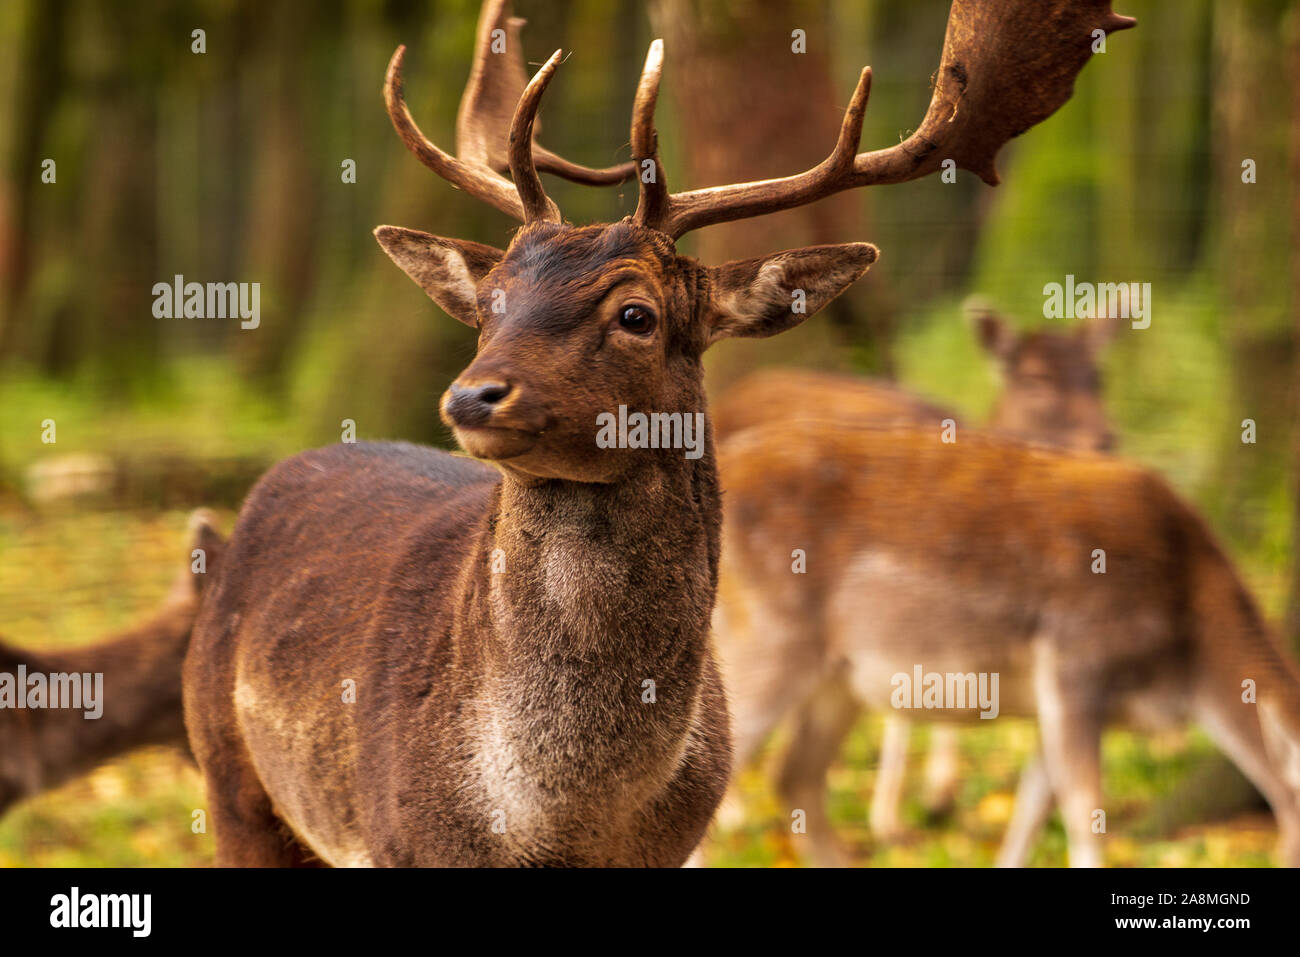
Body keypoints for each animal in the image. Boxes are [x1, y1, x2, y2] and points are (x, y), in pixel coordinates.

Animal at [712, 418, 1300, 867]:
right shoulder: (1075, 663)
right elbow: (1084, 813)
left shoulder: (1065, 703)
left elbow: (1032, 805)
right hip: (765, 640)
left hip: (837, 680)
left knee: (792, 776)